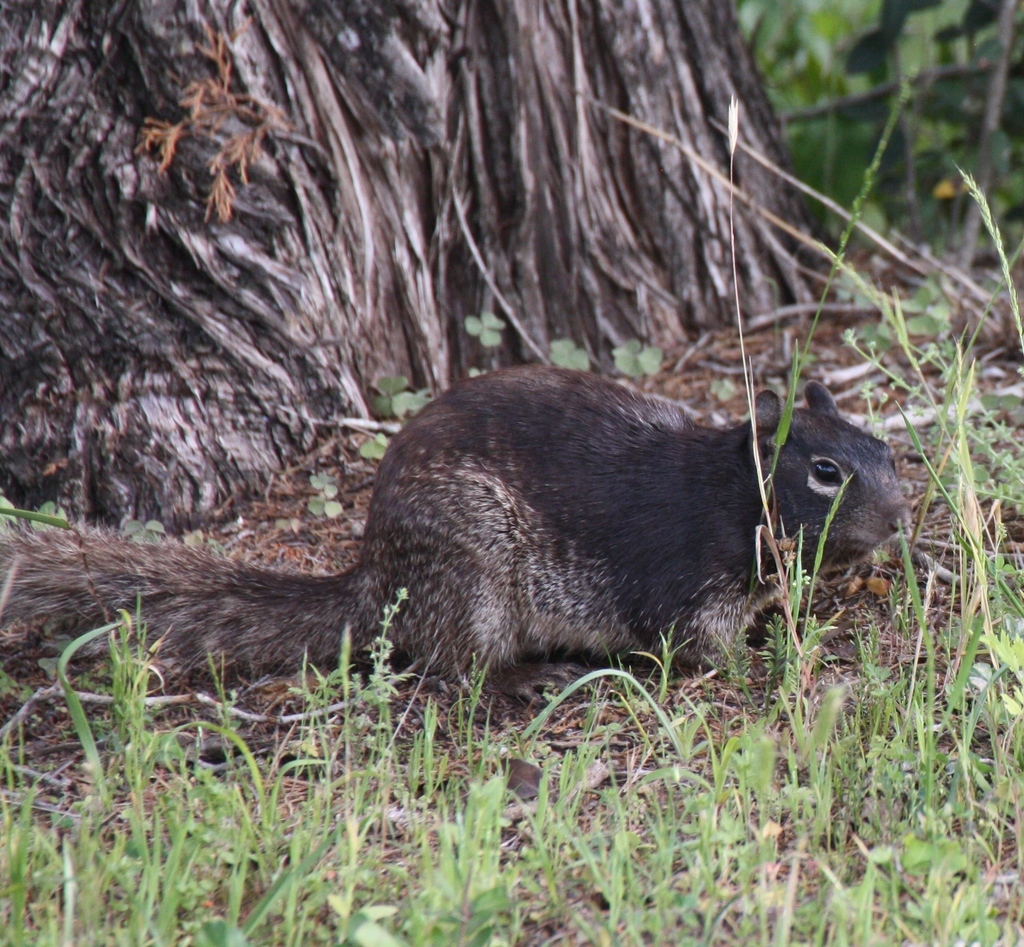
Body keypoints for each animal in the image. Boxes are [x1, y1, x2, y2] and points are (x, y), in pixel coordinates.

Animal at [0, 366, 910, 688]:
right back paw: (525, 680)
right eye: (825, 471)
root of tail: (376, 579)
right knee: (454, 669)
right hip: (473, 574)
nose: (902, 516)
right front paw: (774, 663)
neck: (731, 494)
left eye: (883, 445)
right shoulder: (687, 588)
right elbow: (701, 649)